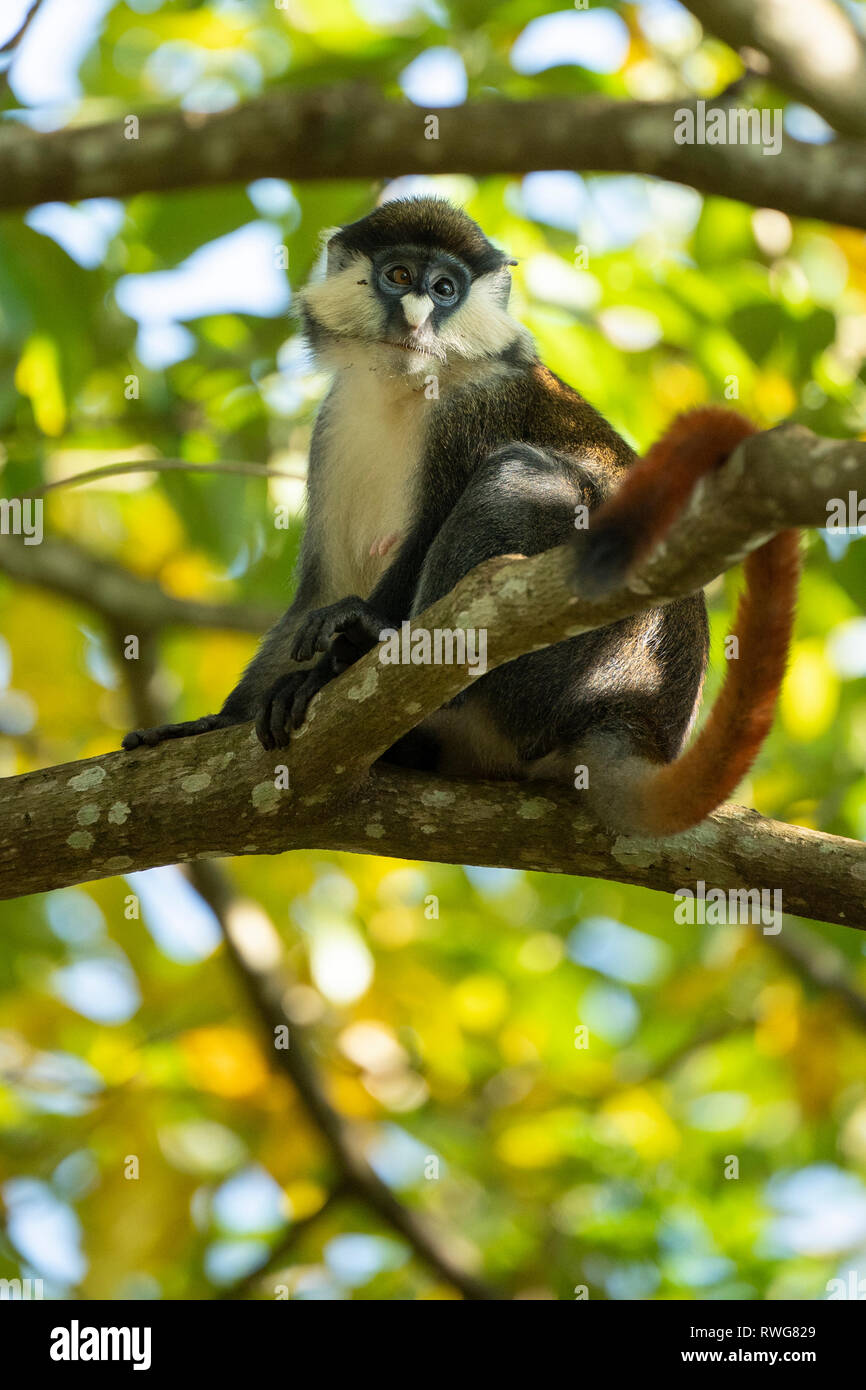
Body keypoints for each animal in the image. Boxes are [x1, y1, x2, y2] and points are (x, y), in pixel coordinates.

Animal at [122, 196, 800, 837]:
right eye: (399, 274)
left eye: (445, 288)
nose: (417, 315)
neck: (400, 388)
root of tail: (640, 725)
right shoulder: (331, 424)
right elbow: (322, 585)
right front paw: (214, 724)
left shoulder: (477, 409)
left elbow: (423, 537)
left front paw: (349, 641)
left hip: (566, 670)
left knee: (523, 476)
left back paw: (364, 647)